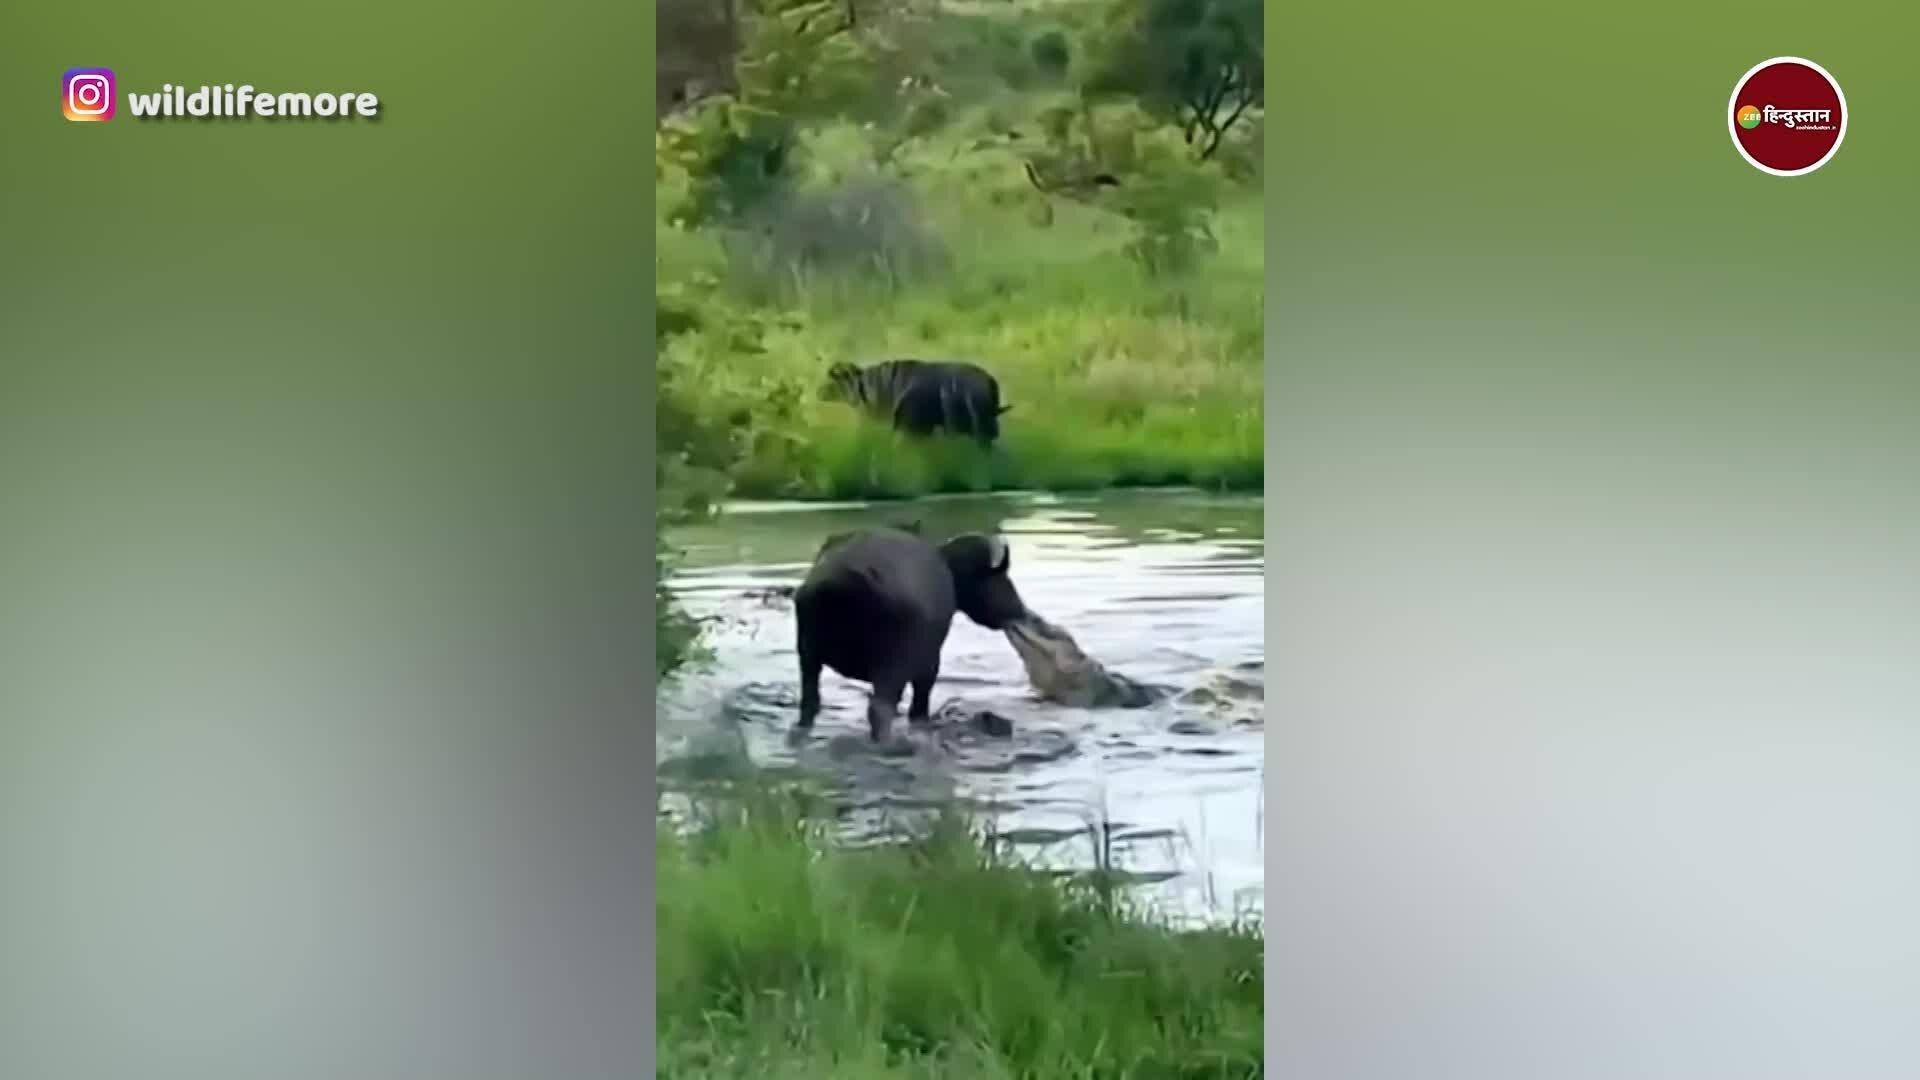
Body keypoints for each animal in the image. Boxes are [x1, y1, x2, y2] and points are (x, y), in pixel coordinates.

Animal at [794, 526, 1027, 743]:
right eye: (999, 576)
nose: (1022, 611)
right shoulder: (929, 662)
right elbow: (919, 706)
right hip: (890, 665)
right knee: (879, 710)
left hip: (808, 656)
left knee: (810, 701)